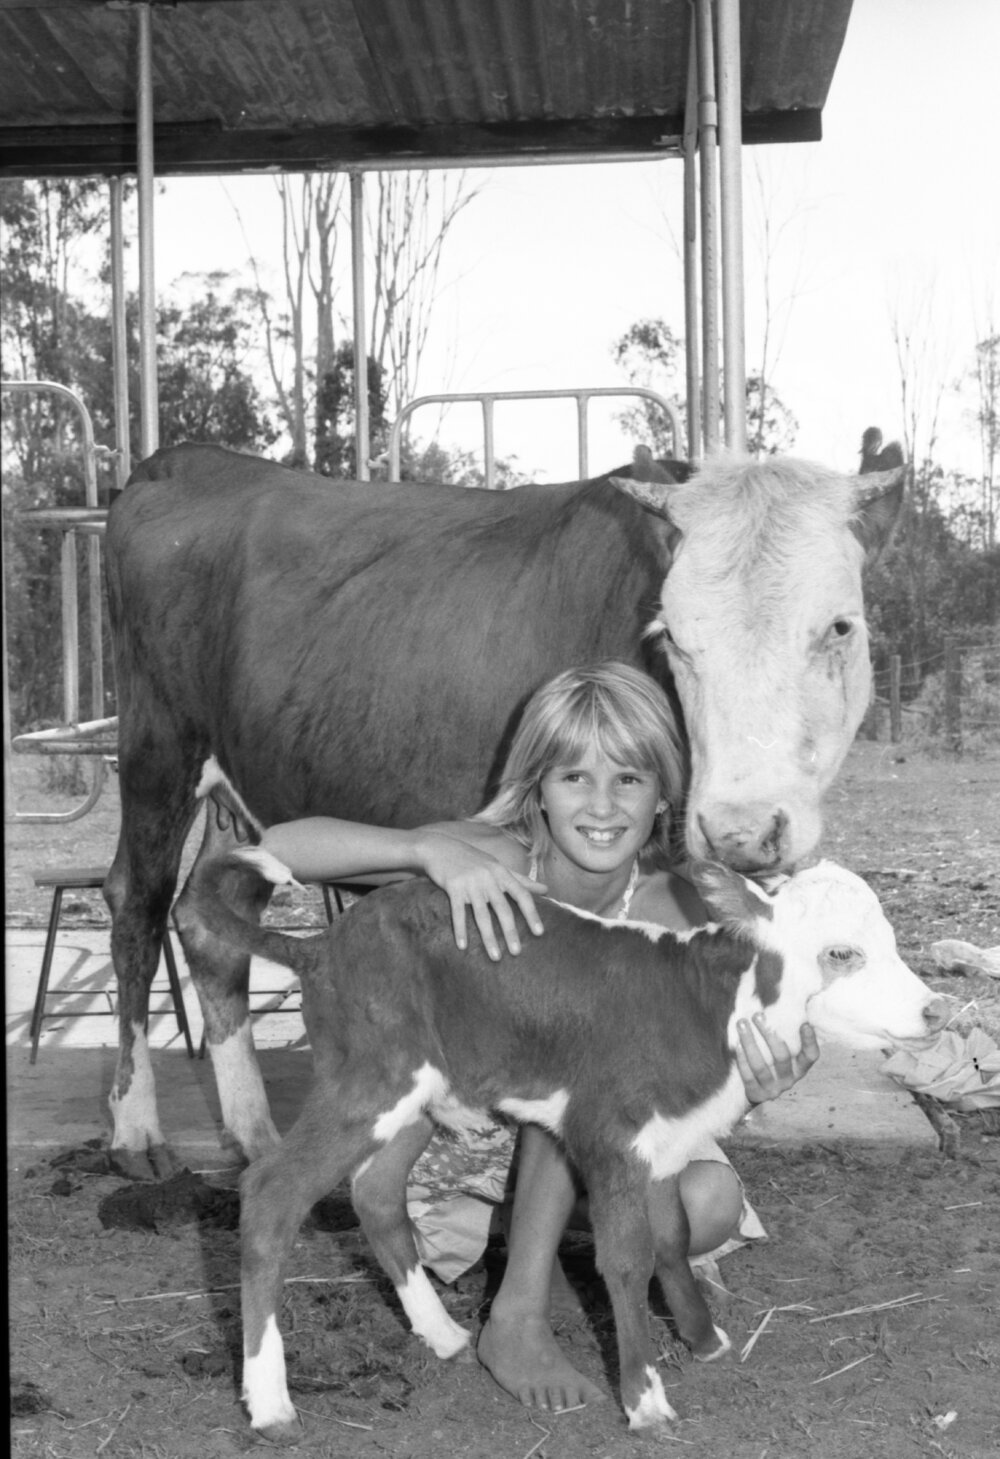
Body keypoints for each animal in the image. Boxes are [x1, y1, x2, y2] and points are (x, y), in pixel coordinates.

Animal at [103, 445, 904, 1180]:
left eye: (841, 627)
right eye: (674, 634)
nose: (740, 829)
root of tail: (188, 460)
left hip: (239, 791)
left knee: (209, 920)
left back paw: (251, 1131)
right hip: (155, 746)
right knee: (138, 903)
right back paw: (136, 1127)